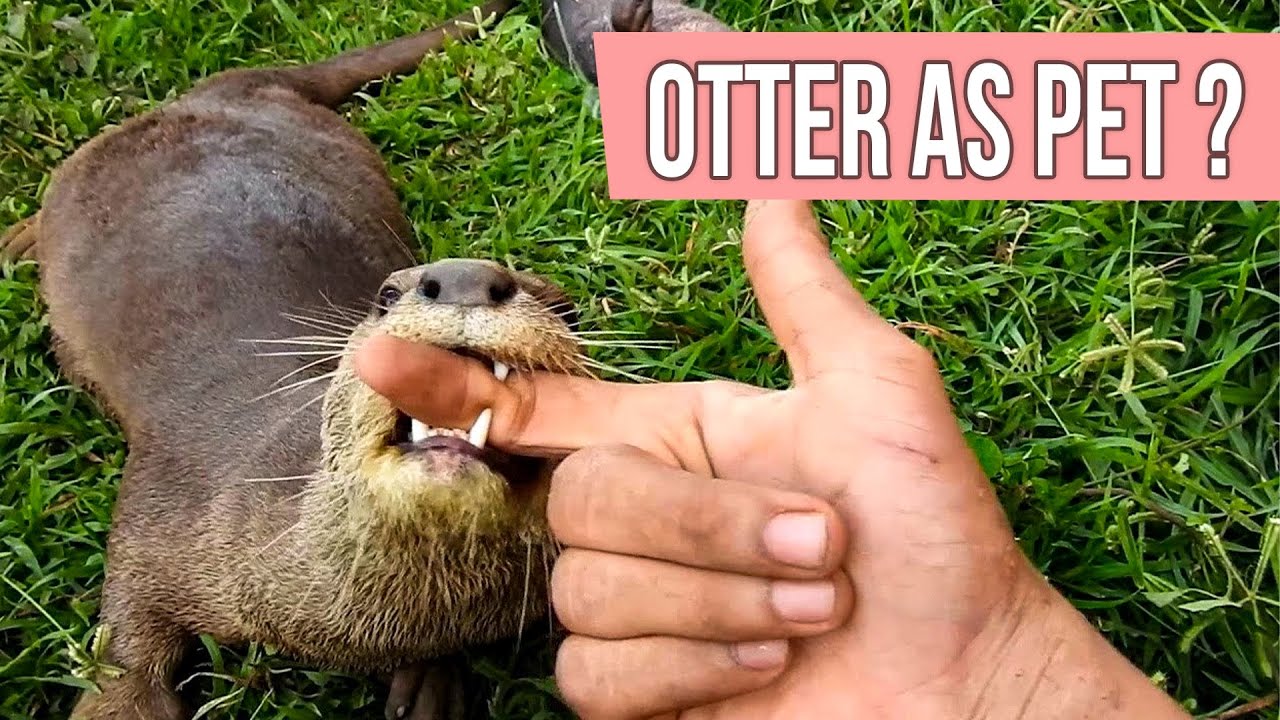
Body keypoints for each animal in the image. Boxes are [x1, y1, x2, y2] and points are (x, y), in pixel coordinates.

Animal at [1, 0, 731, 718]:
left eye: (566, 310)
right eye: (385, 295)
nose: (465, 278)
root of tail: (229, 90)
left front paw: (428, 685)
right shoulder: (159, 516)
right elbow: (124, 648)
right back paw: (18, 241)